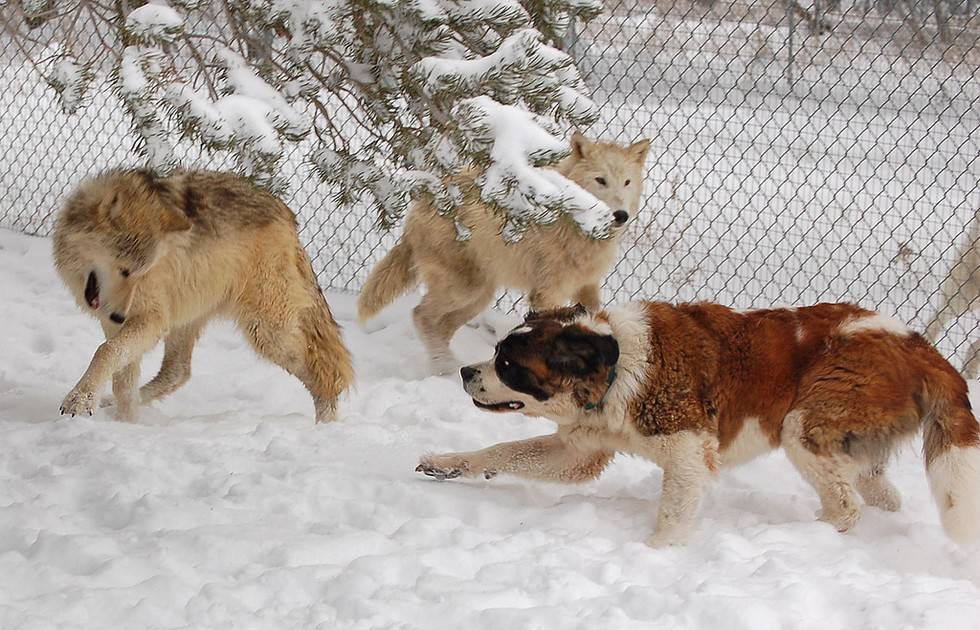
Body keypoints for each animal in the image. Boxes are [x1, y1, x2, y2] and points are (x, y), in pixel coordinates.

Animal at [52, 168, 354, 423]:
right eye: (125, 270)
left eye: (140, 273)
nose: (119, 315)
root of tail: (289, 219)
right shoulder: (121, 323)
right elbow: (122, 376)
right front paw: (126, 423)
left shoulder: (152, 319)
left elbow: (106, 352)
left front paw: (81, 401)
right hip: (187, 319)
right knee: (177, 373)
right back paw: (116, 402)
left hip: (268, 333)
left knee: (325, 374)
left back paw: (326, 426)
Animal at [357, 132, 651, 372]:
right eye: (601, 180)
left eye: (626, 182)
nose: (620, 215)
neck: (576, 223)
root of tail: (417, 207)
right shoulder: (547, 293)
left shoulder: (587, 287)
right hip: (465, 291)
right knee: (421, 315)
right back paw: (447, 368)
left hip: (479, 297)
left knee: (438, 326)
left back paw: (446, 368)